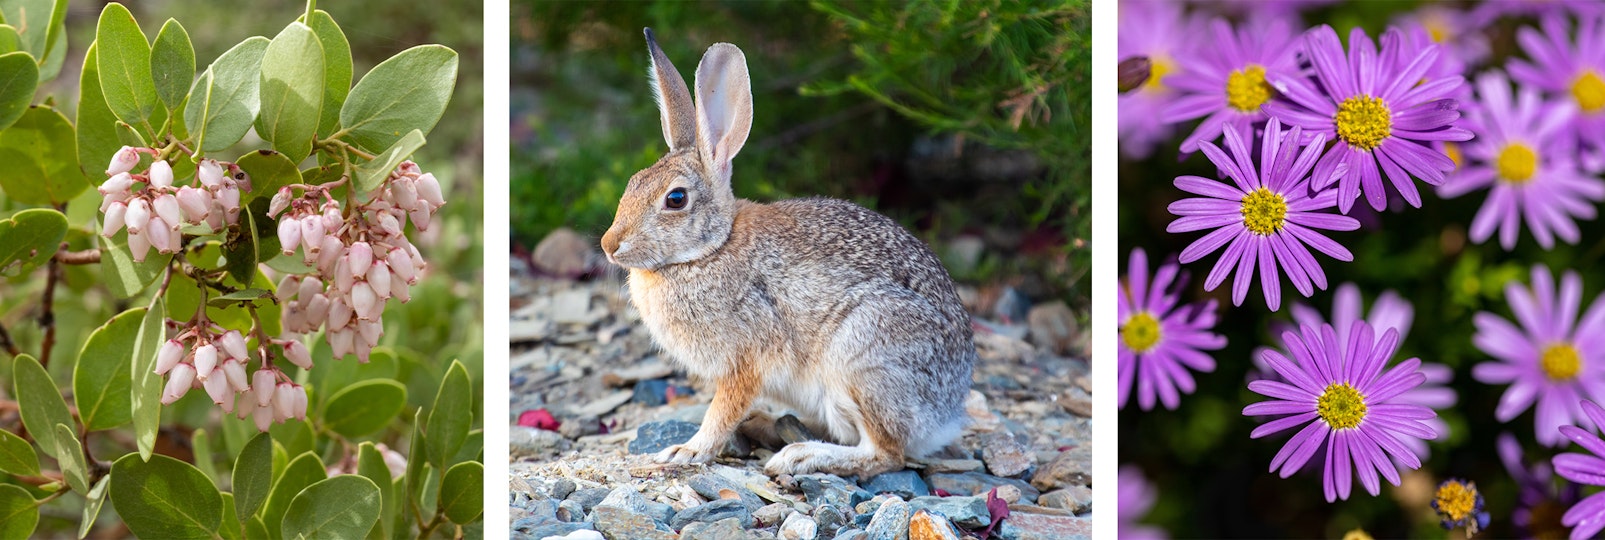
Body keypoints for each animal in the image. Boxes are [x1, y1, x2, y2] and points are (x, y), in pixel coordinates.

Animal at [600, 28, 977, 479]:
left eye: (676, 199)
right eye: (632, 183)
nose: (609, 244)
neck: (711, 248)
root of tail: (946, 416)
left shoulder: (746, 360)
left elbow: (721, 411)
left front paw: (686, 451)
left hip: (863, 357)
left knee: (887, 452)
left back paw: (803, 456)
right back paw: (768, 426)